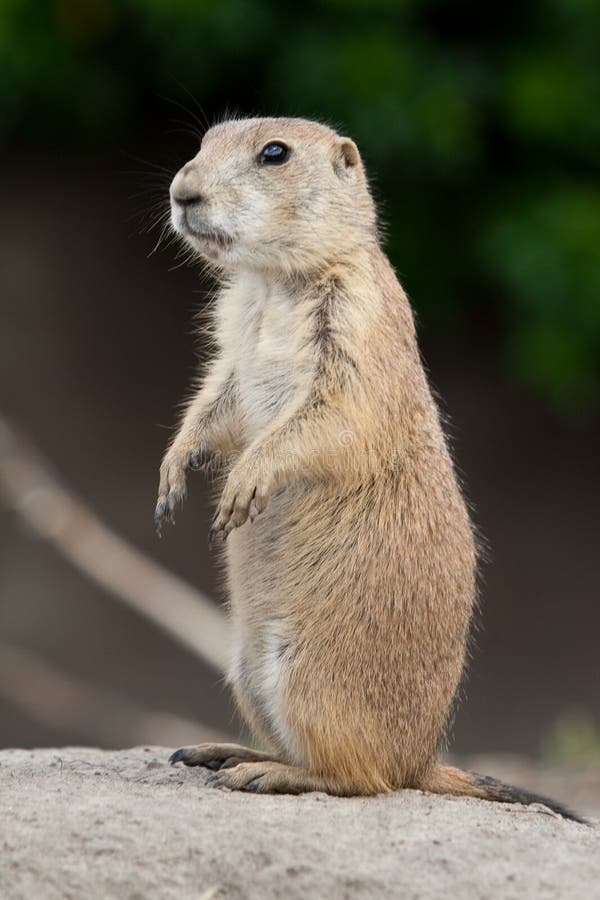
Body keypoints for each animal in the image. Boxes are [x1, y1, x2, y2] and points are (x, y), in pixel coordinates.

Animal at [155, 117, 583, 822]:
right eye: (205, 139)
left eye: (275, 153)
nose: (181, 190)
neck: (272, 283)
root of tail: (422, 759)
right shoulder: (231, 344)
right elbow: (215, 399)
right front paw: (171, 473)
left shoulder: (355, 327)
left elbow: (328, 416)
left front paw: (243, 484)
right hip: (247, 672)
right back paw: (223, 752)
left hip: (312, 679)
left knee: (361, 778)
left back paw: (263, 773)